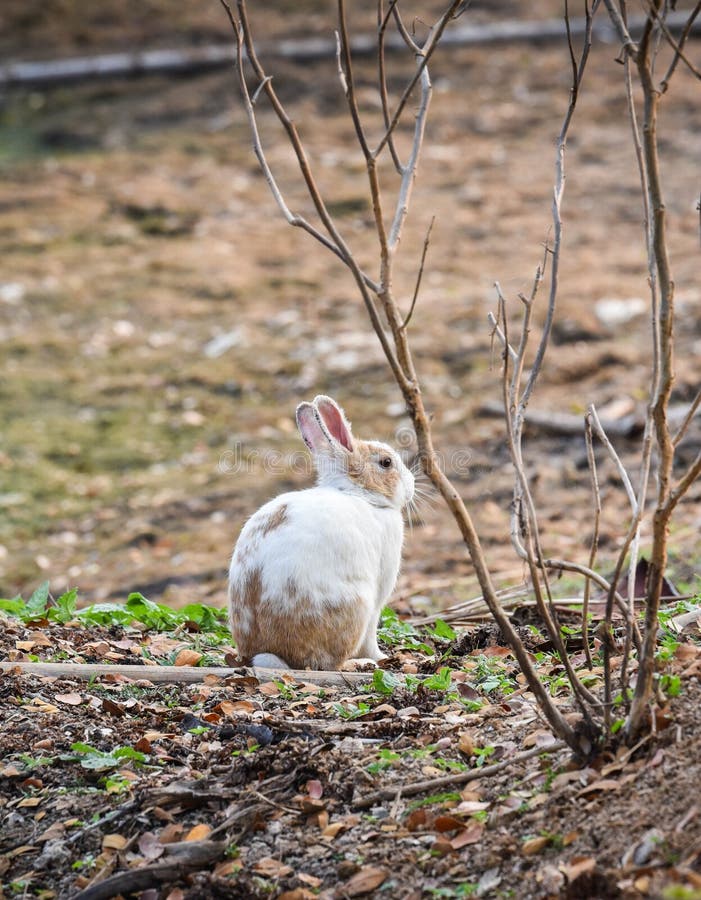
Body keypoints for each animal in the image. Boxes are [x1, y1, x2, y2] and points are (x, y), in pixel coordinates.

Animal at [228, 394, 415, 671]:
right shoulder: (379, 594)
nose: (411, 484)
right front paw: (380, 657)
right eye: (386, 463)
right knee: (331, 663)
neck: (358, 493)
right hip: (358, 605)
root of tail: (274, 653)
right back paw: (359, 664)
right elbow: (371, 637)